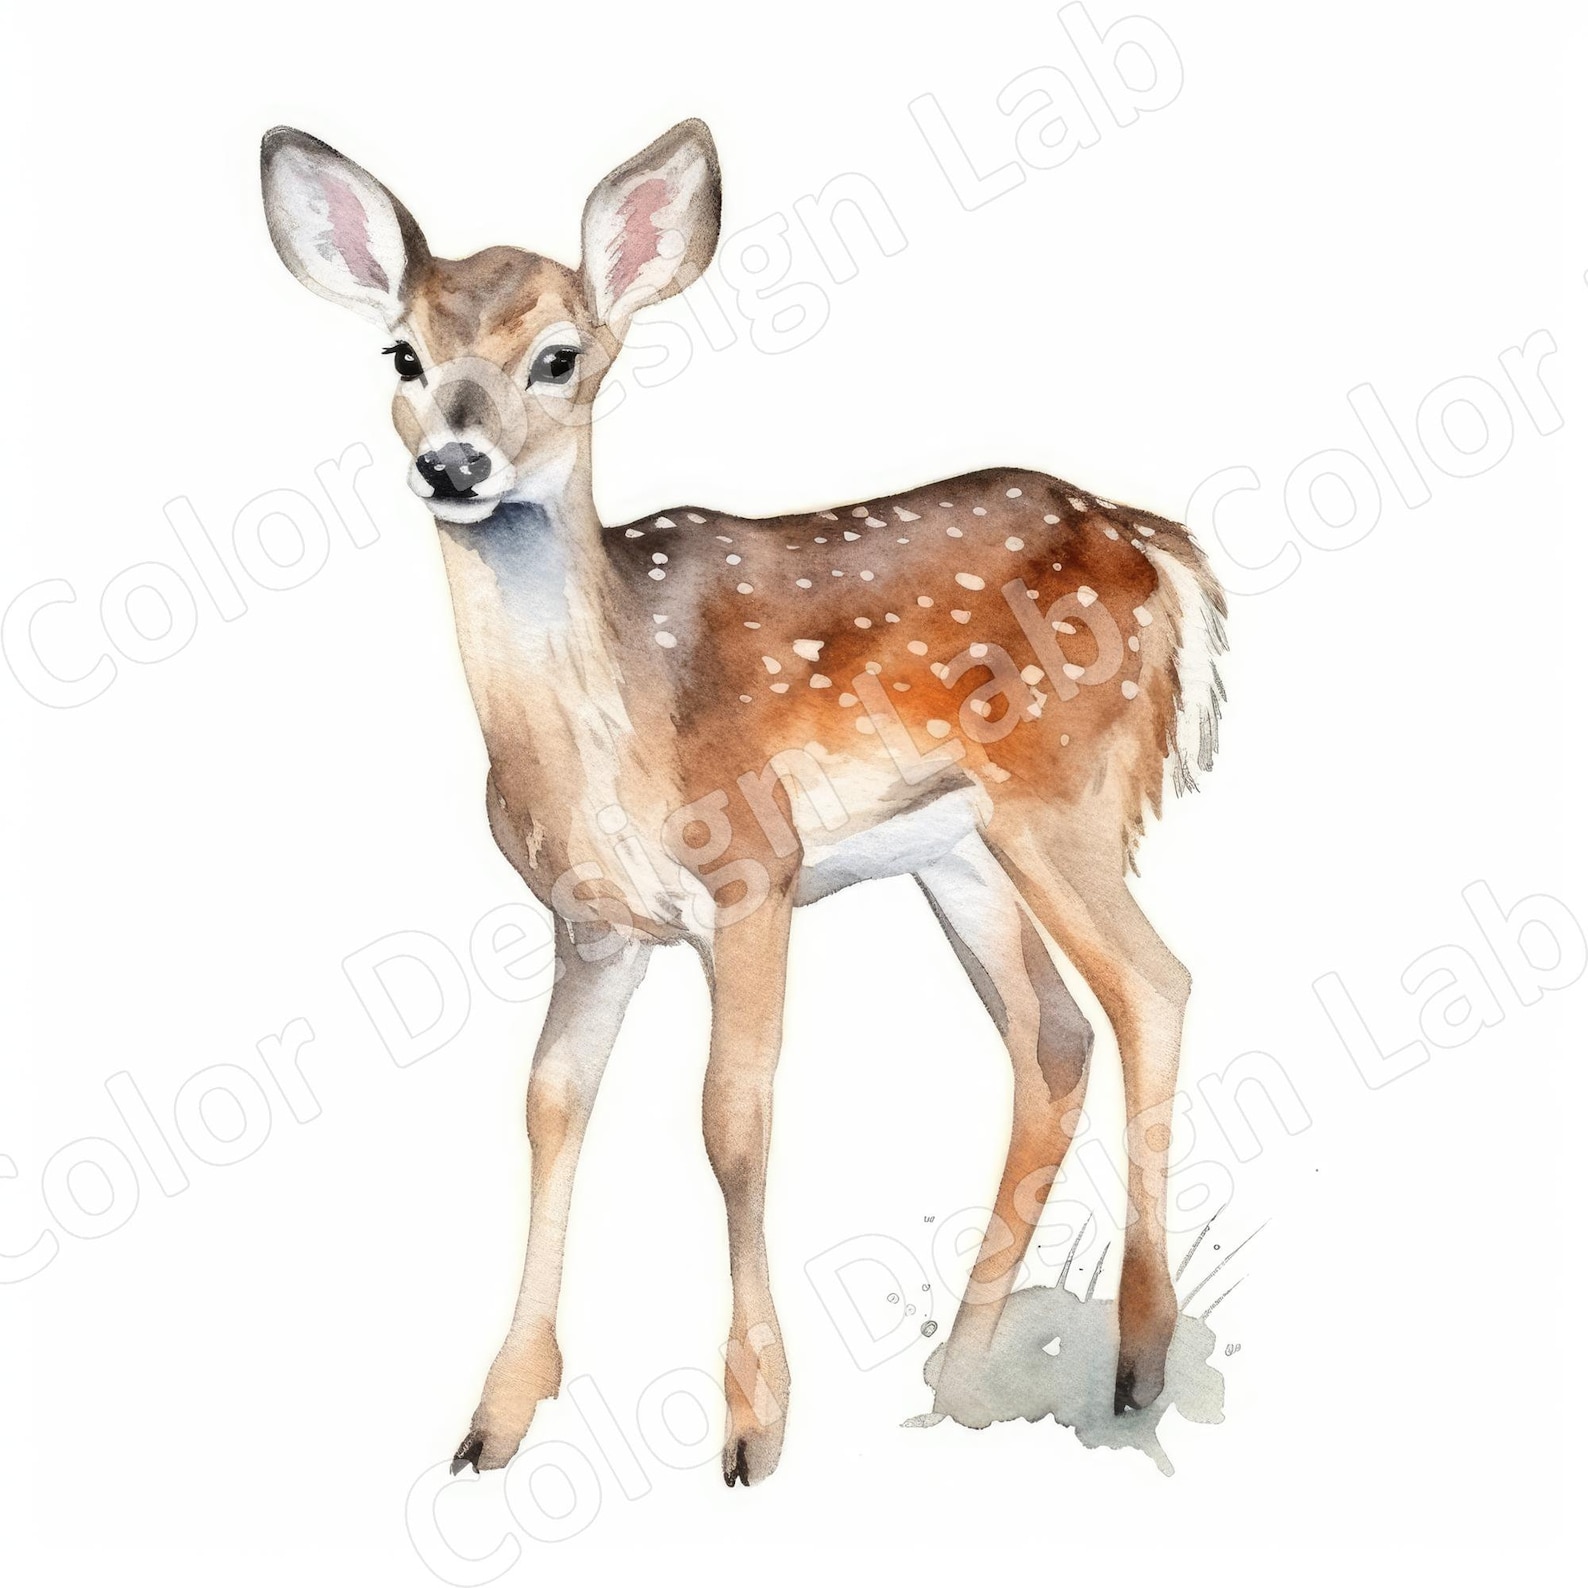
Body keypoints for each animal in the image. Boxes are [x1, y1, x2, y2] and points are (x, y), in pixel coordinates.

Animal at [260, 117, 1228, 1487]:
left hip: (1064, 795)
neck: (612, 729)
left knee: (1152, 987)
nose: (453, 463)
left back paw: (1136, 1363)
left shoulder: (752, 869)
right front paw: (494, 1416)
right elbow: (548, 1105)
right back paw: (957, 1368)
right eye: (404, 353)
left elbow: (732, 1120)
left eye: (560, 356)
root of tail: (1155, 545)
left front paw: (752, 1424)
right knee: (1051, 1036)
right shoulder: (592, 919)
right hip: (958, 852)